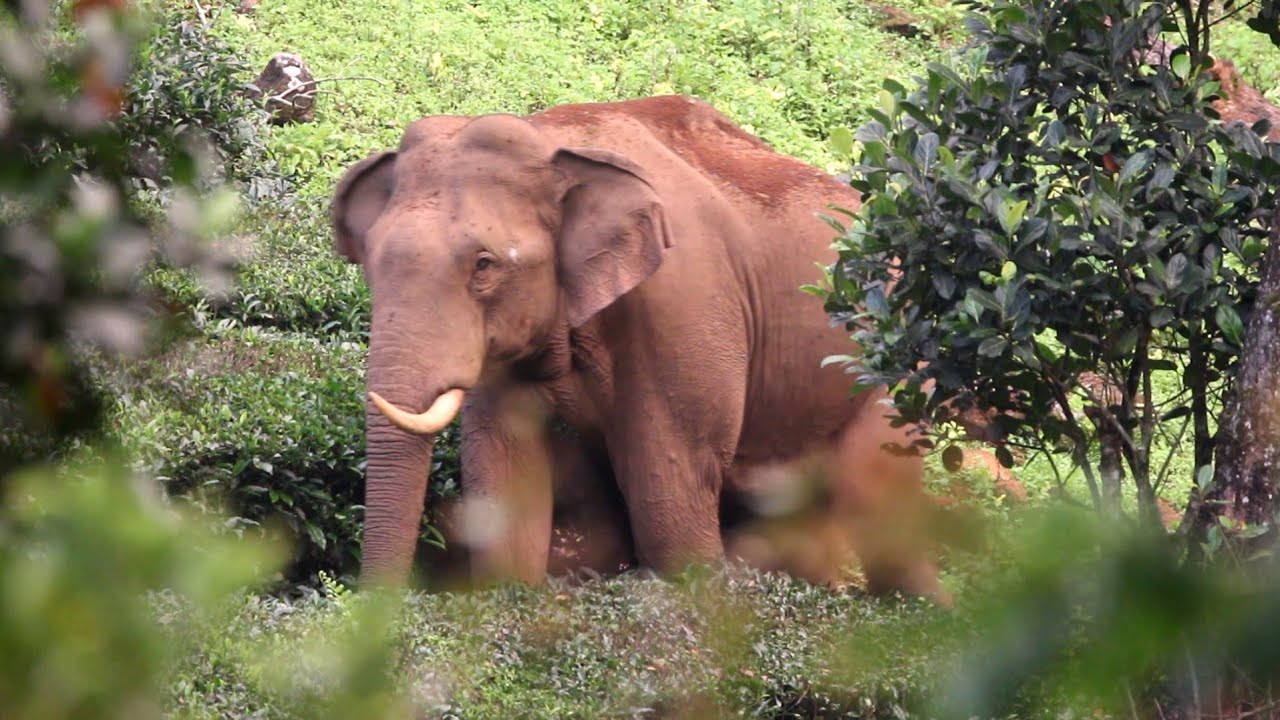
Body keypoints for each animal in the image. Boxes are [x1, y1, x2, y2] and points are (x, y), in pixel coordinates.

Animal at [331, 94, 946, 601]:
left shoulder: (683, 302)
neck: (555, 144)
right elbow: (505, 471)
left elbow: (671, 485)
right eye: (369, 259)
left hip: (896, 367)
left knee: (875, 497)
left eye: (484, 265)